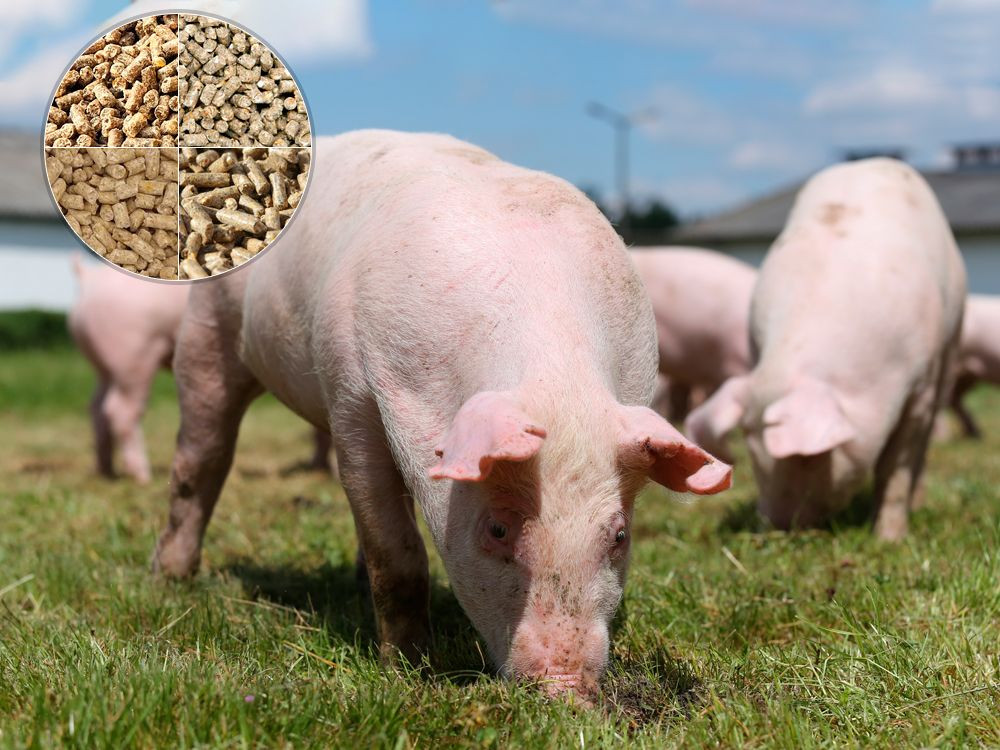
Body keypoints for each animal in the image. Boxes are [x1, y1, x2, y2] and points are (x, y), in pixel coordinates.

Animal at [151, 130, 732, 699]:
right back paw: (172, 577)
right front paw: (409, 671)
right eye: (497, 529)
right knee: (202, 456)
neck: (554, 376)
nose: (564, 689)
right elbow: (396, 551)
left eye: (619, 536)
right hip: (207, 327)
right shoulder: (351, 388)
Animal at [685, 158, 965, 541]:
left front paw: (889, 539)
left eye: (808, 458)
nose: (776, 525)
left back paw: (918, 503)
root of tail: (874, 161)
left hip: (952, 343)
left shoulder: (919, 387)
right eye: (752, 451)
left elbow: (896, 466)